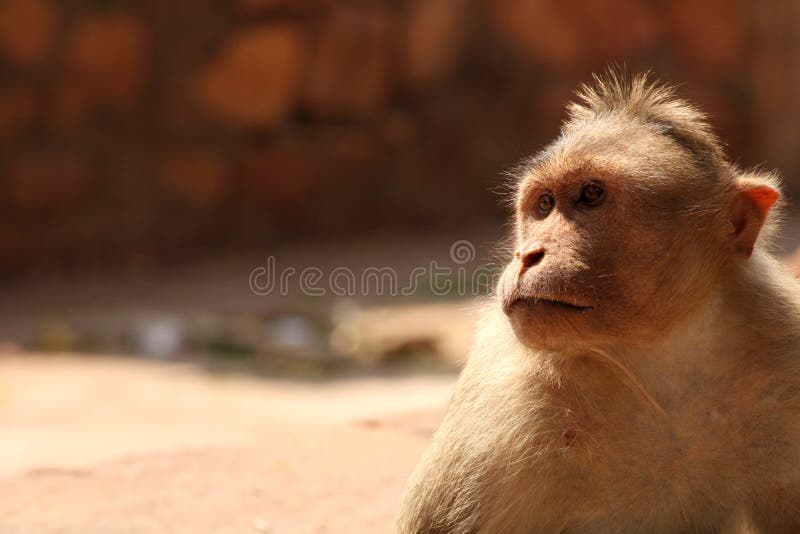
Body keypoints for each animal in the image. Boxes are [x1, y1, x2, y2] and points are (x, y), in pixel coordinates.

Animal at [397, 70, 800, 533]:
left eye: (591, 194)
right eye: (544, 204)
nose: (527, 254)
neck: (662, 366)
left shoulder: (787, 360)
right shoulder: (504, 402)